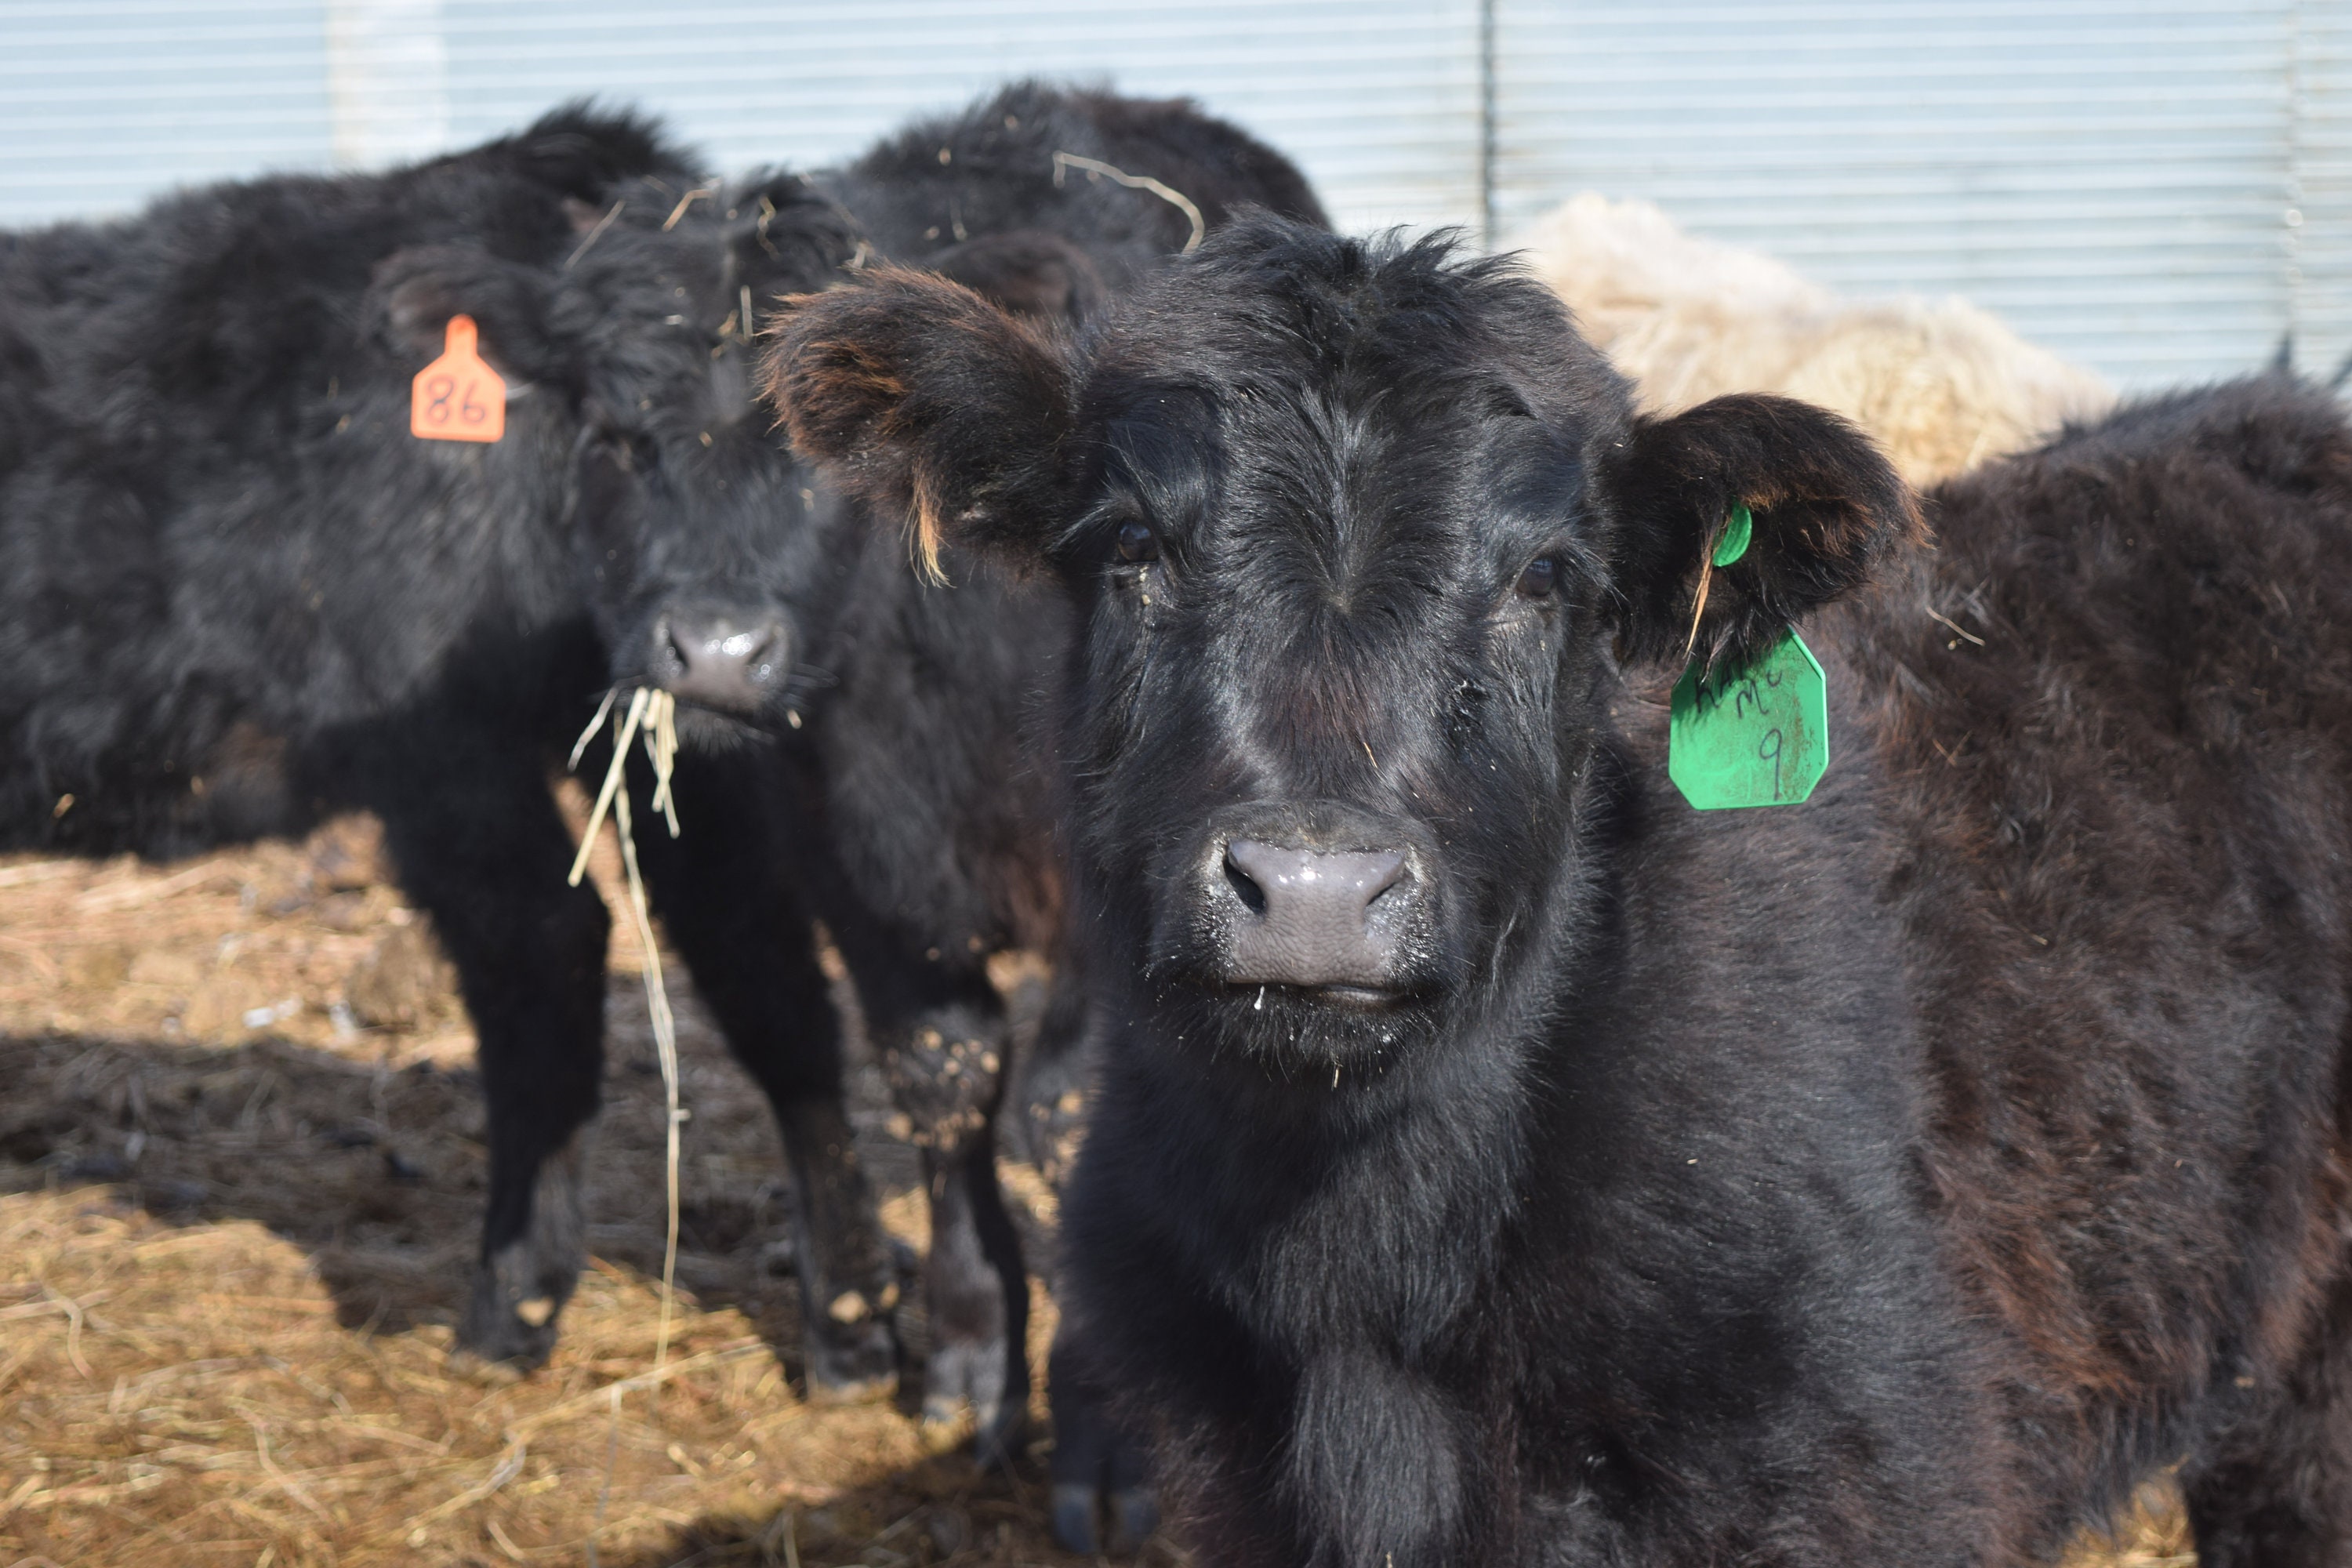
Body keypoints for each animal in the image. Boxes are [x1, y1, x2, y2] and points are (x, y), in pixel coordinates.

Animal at [0, 109, 905, 1400]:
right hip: (663, 738)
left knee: (549, 955)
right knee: (761, 968)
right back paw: (849, 1324)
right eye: (616, 436)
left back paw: (509, 1304)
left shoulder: (444, 747)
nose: (722, 647)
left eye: (812, 447)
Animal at [399, 83, 1327, 1498]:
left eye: (813, 450)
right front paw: (967, 1356)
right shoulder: (858, 867)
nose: (717, 652)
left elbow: (1072, 1110)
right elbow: (944, 1076)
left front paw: (1107, 1425)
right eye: (614, 437)